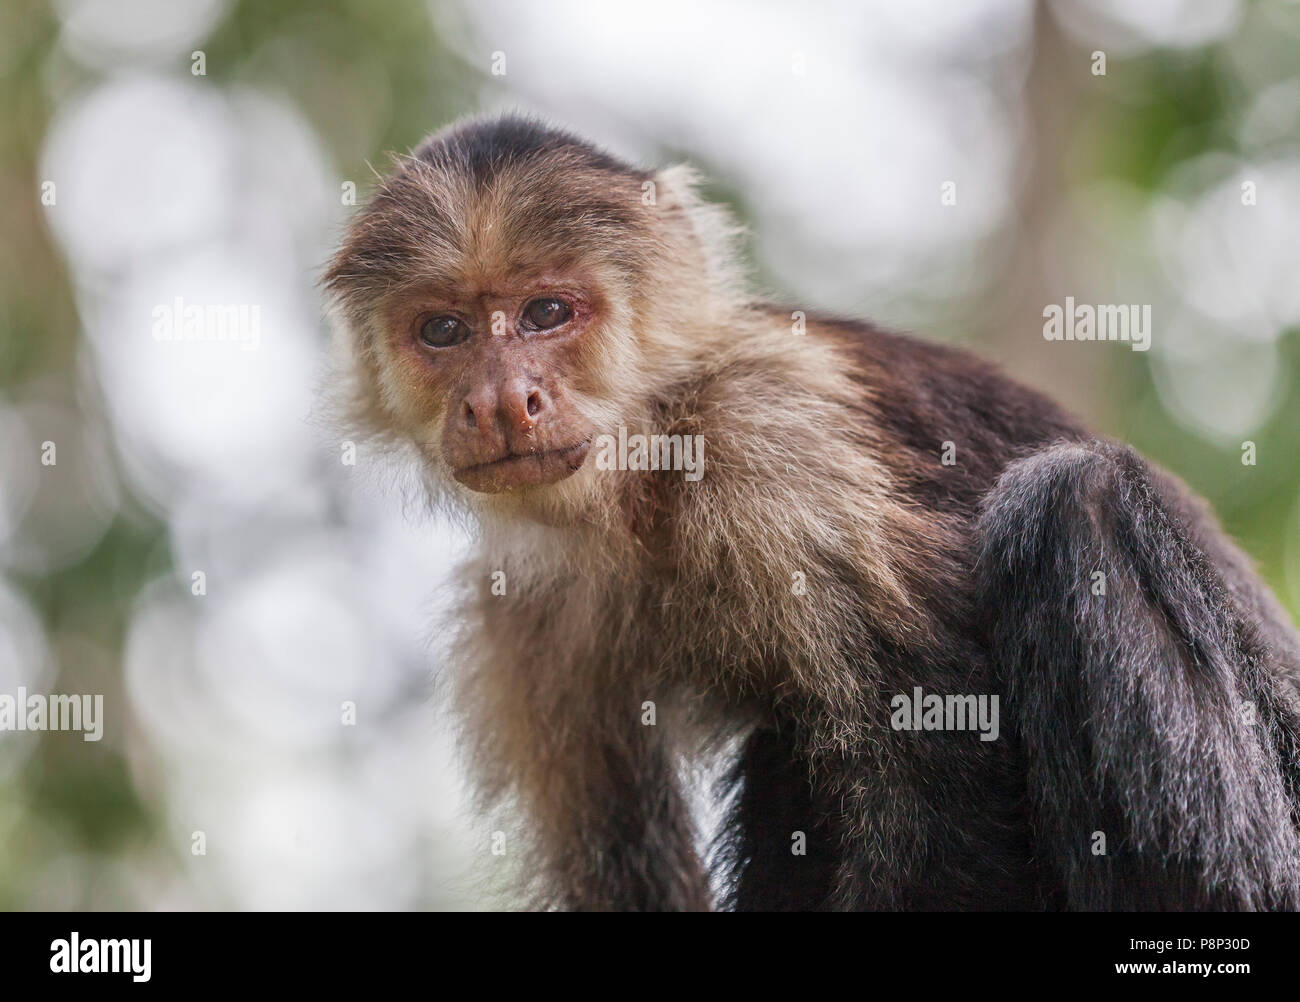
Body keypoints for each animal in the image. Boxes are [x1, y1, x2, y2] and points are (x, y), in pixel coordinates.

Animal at [324, 113, 1300, 911]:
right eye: (444, 332)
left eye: (546, 313)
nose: (501, 400)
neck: (642, 481)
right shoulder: (521, 622)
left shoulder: (776, 437)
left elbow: (947, 783)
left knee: (1074, 504)